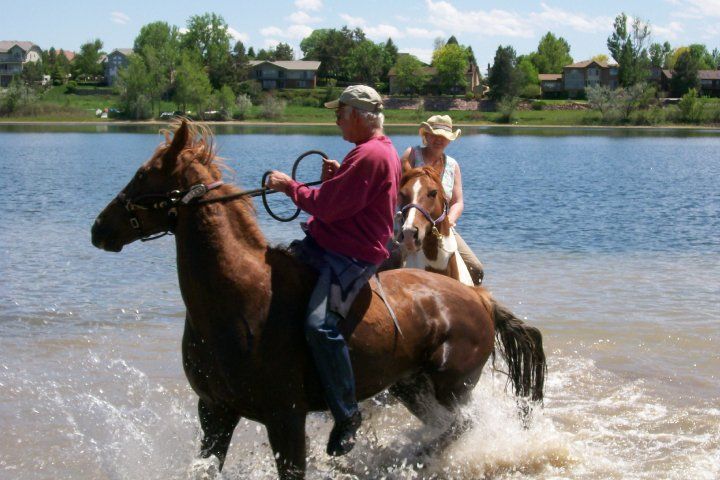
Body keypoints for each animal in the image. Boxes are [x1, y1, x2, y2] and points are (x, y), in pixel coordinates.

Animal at [90, 120, 546, 479]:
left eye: (144, 174)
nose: (99, 228)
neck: (238, 298)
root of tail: (479, 299)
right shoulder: (214, 412)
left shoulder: (285, 418)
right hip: (411, 386)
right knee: (446, 426)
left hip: (454, 386)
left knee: (459, 427)